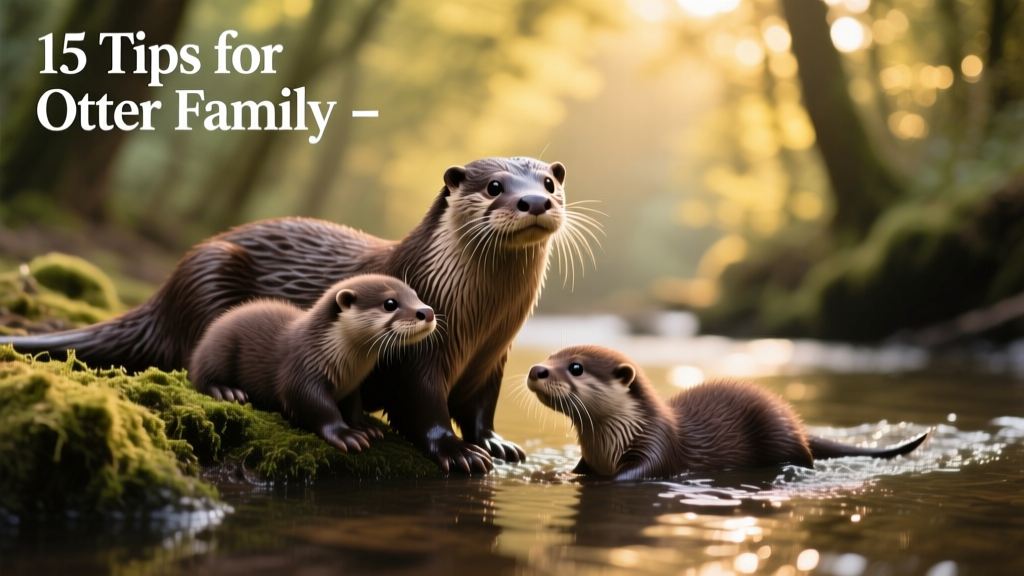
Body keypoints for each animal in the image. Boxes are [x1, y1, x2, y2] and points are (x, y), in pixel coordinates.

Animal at [189, 274, 435, 452]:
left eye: (416, 295)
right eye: (390, 303)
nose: (428, 311)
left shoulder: (351, 386)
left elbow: (354, 406)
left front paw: (363, 426)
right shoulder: (302, 369)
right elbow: (316, 406)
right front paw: (345, 434)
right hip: (218, 350)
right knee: (200, 376)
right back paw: (228, 392)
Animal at [527, 345, 931, 480]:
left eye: (576, 367)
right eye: (551, 356)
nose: (536, 369)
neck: (609, 443)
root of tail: (795, 423)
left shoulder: (656, 447)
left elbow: (632, 476)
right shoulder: (590, 457)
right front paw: (558, 474)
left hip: (777, 434)